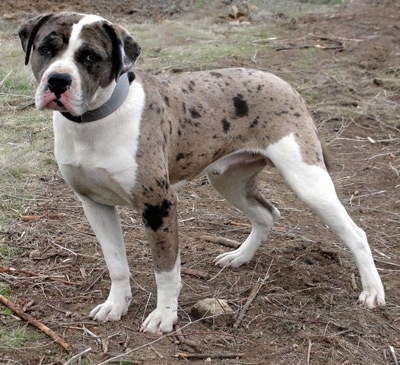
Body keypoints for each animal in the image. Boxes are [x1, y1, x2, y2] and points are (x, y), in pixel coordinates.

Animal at [18, 12, 384, 332]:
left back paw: (372, 291)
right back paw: (239, 256)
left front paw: (165, 316)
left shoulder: (159, 207)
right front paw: (116, 305)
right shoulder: (95, 205)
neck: (95, 121)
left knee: (356, 234)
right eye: (46, 48)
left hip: (308, 181)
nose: (58, 81)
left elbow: (166, 271)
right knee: (267, 214)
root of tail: (284, 83)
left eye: (91, 56)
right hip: (228, 179)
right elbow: (116, 264)